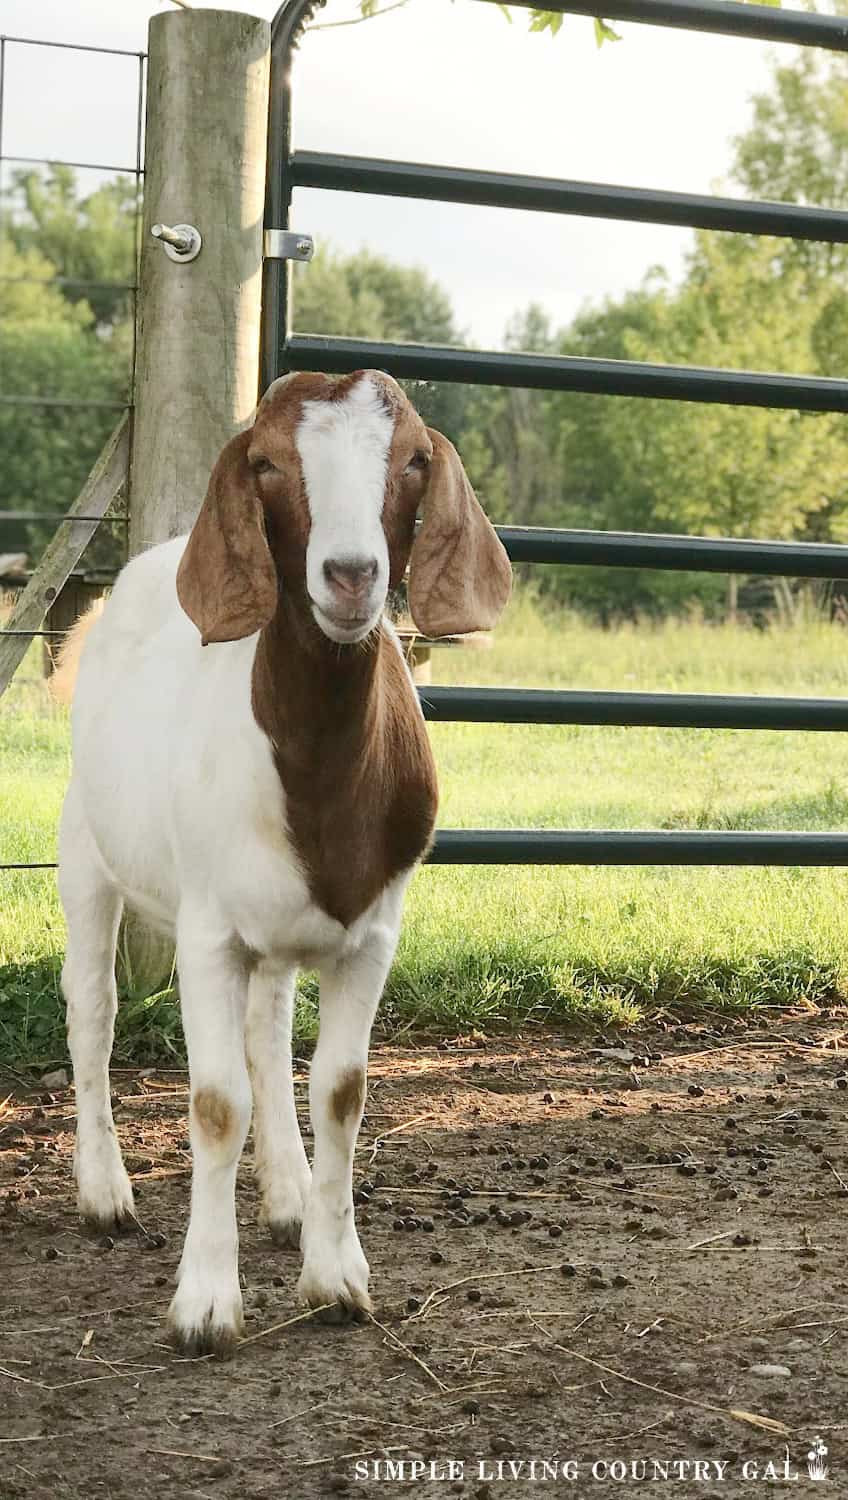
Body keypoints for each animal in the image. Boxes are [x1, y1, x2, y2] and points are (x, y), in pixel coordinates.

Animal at [58, 369, 511, 1354]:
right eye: (266, 463)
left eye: (412, 460)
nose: (351, 575)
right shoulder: (205, 934)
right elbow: (214, 1103)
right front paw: (204, 1304)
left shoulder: (372, 933)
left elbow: (339, 1090)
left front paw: (336, 1276)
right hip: (87, 855)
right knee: (94, 1012)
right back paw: (104, 1192)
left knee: (267, 1031)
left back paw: (289, 1193)